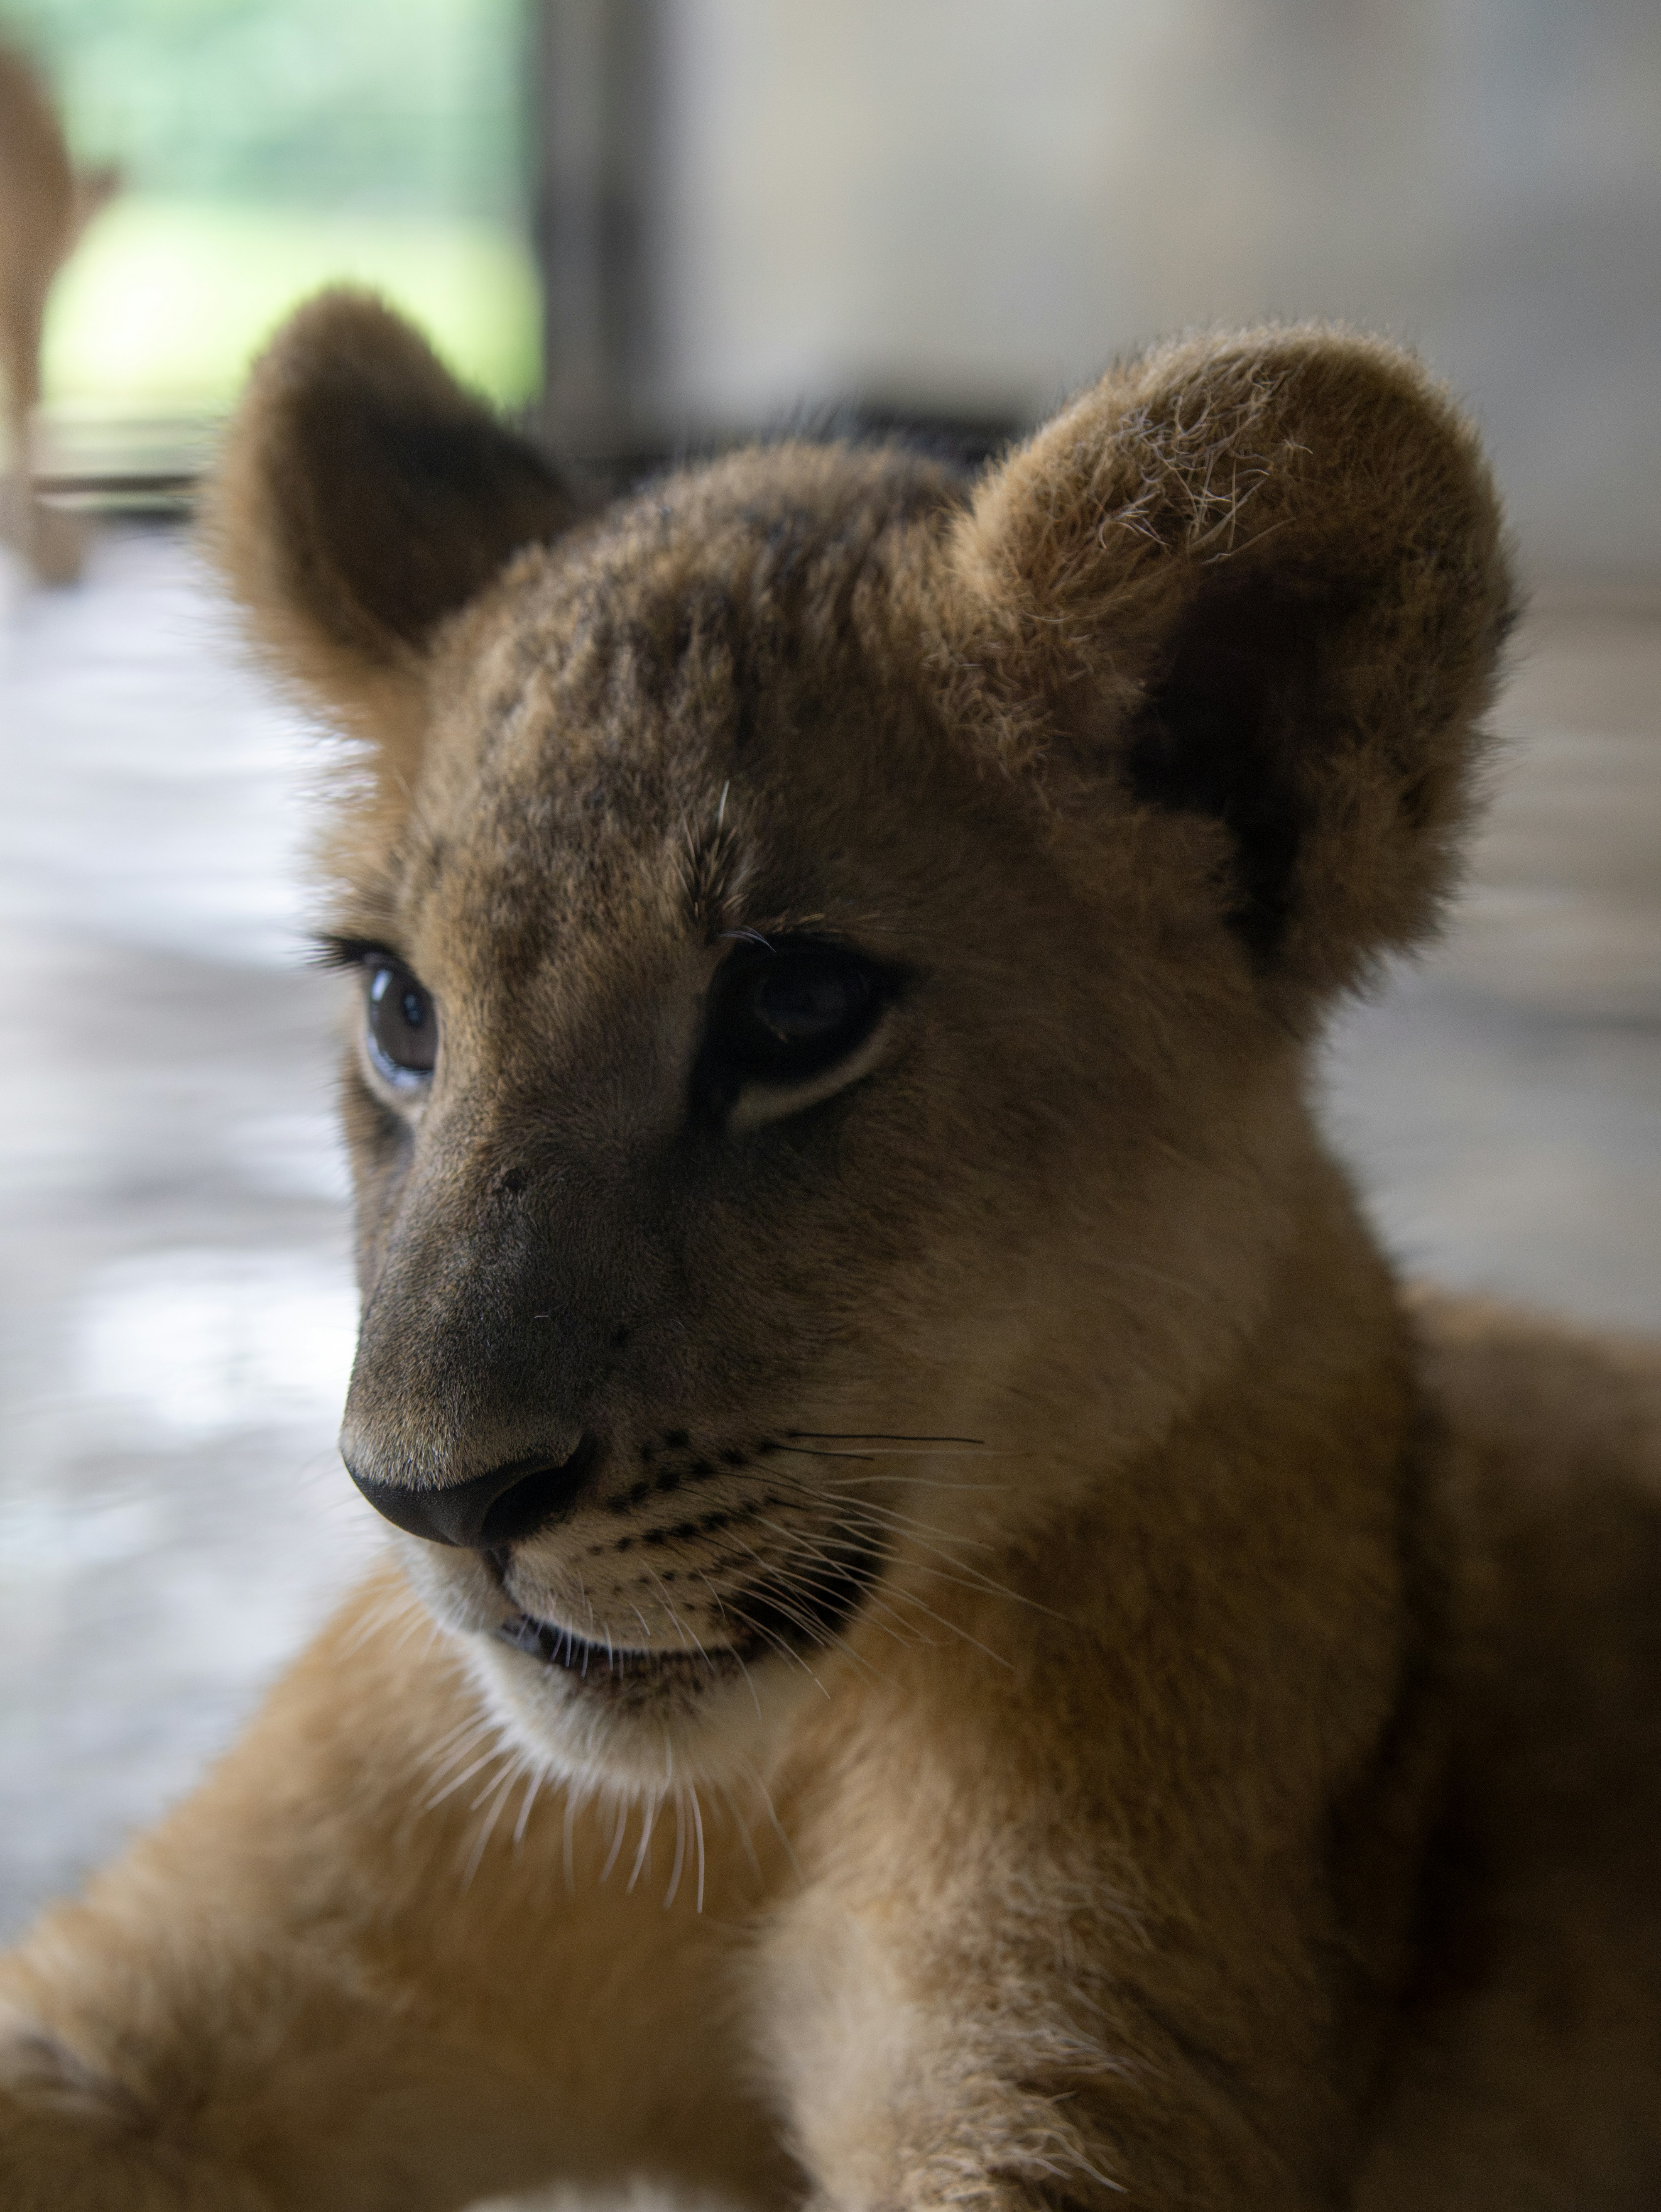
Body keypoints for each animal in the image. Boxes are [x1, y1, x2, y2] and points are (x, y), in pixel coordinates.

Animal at [2, 292, 1658, 2212]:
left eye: (795, 1011)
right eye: (403, 1012)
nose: (429, 1502)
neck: (749, 1788)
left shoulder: (1078, 2064)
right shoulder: (150, 2014)